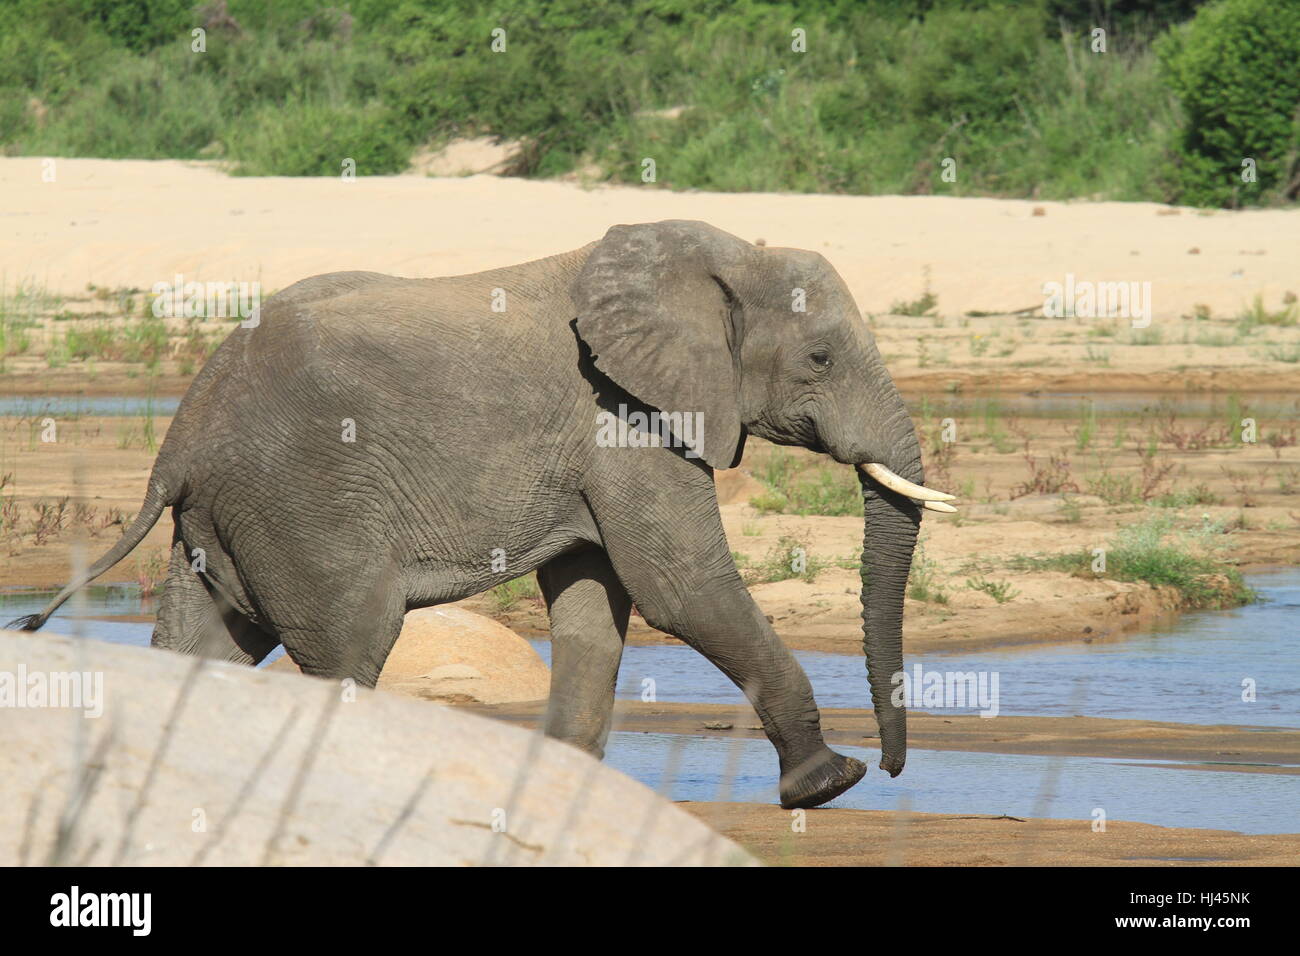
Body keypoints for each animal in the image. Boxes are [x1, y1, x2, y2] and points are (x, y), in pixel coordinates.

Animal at [10, 220, 957, 809]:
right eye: (820, 358)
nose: (895, 768)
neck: (720, 255)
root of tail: (179, 437)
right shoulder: (623, 417)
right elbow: (680, 588)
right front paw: (829, 782)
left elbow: (593, 605)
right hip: (301, 501)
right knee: (352, 639)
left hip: (223, 520)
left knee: (201, 647)